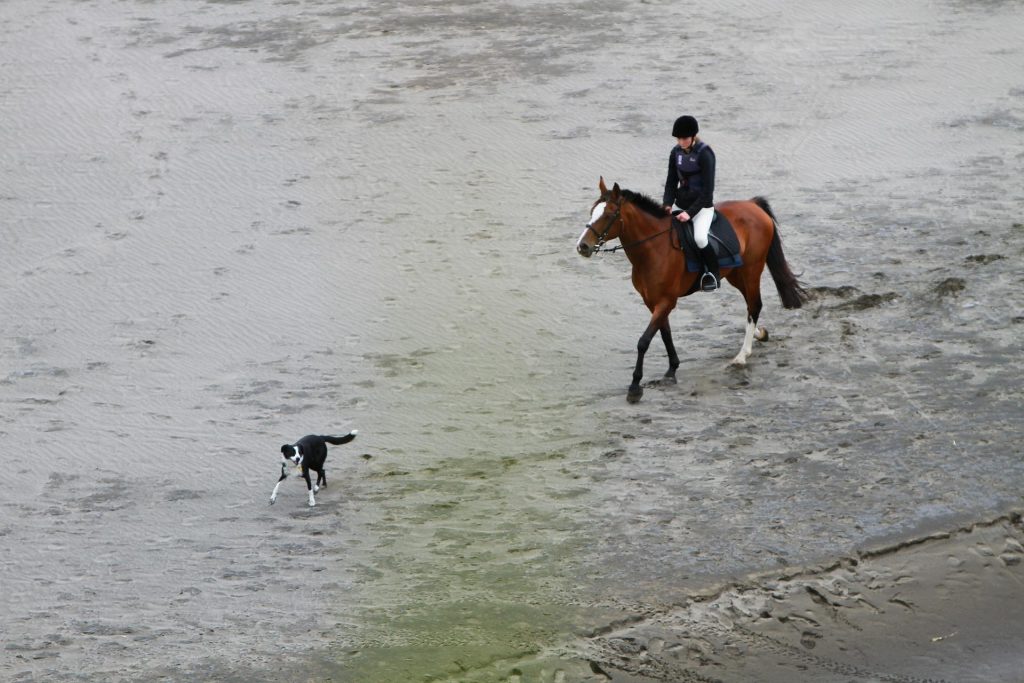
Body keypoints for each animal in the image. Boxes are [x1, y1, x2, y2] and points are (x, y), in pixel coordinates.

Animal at [576, 177, 807, 403]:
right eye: (592, 211)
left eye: (608, 215)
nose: (582, 247)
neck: (653, 248)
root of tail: (752, 204)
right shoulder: (653, 302)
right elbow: (665, 334)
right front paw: (671, 370)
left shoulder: (667, 301)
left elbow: (644, 341)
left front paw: (635, 387)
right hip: (735, 273)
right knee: (751, 305)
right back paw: (760, 334)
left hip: (751, 269)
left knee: (754, 305)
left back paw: (741, 356)